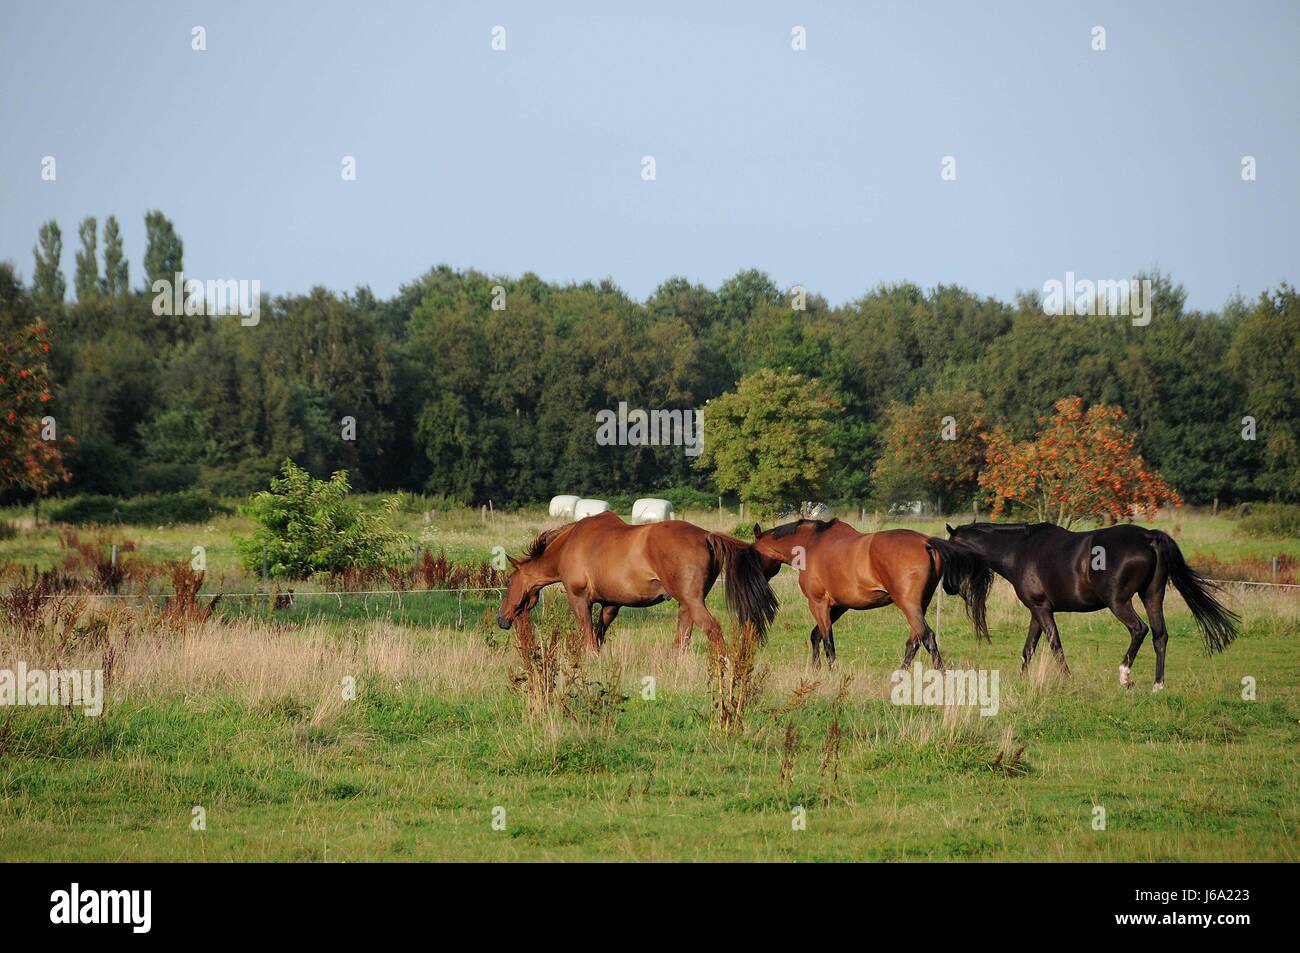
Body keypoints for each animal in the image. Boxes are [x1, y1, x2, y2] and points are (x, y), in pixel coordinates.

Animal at [496, 511, 778, 653]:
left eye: (509, 581)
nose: (501, 618)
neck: (569, 545)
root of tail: (706, 536)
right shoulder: (611, 605)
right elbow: (599, 635)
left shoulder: (579, 600)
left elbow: (588, 638)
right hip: (687, 604)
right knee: (682, 638)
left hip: (693, 602)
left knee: (713, 630)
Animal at [750, 519, 993, 670]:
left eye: (752, 553)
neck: (811, 544)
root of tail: (926, 542)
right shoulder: (839, 606)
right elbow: (816, 635)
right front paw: (817, 669)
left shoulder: (818, 603)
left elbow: (827, 640)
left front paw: (832, 671)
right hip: (920, 605)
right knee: (913, 642)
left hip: (908, 605)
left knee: (927, 638)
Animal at [944, 521, 1239, 690]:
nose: (947, 587)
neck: (1019, 550)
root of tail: (1148, 536)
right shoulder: (1037, 611)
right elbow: (1029, 648)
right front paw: (1022, 681)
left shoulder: (1041, 609)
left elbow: (1055, 645)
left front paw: (1067, 680)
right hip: (1152, 597)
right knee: (1160, 635)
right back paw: (1157, 685)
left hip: (1119, 602)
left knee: (1139, 629)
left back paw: (1125, 676)